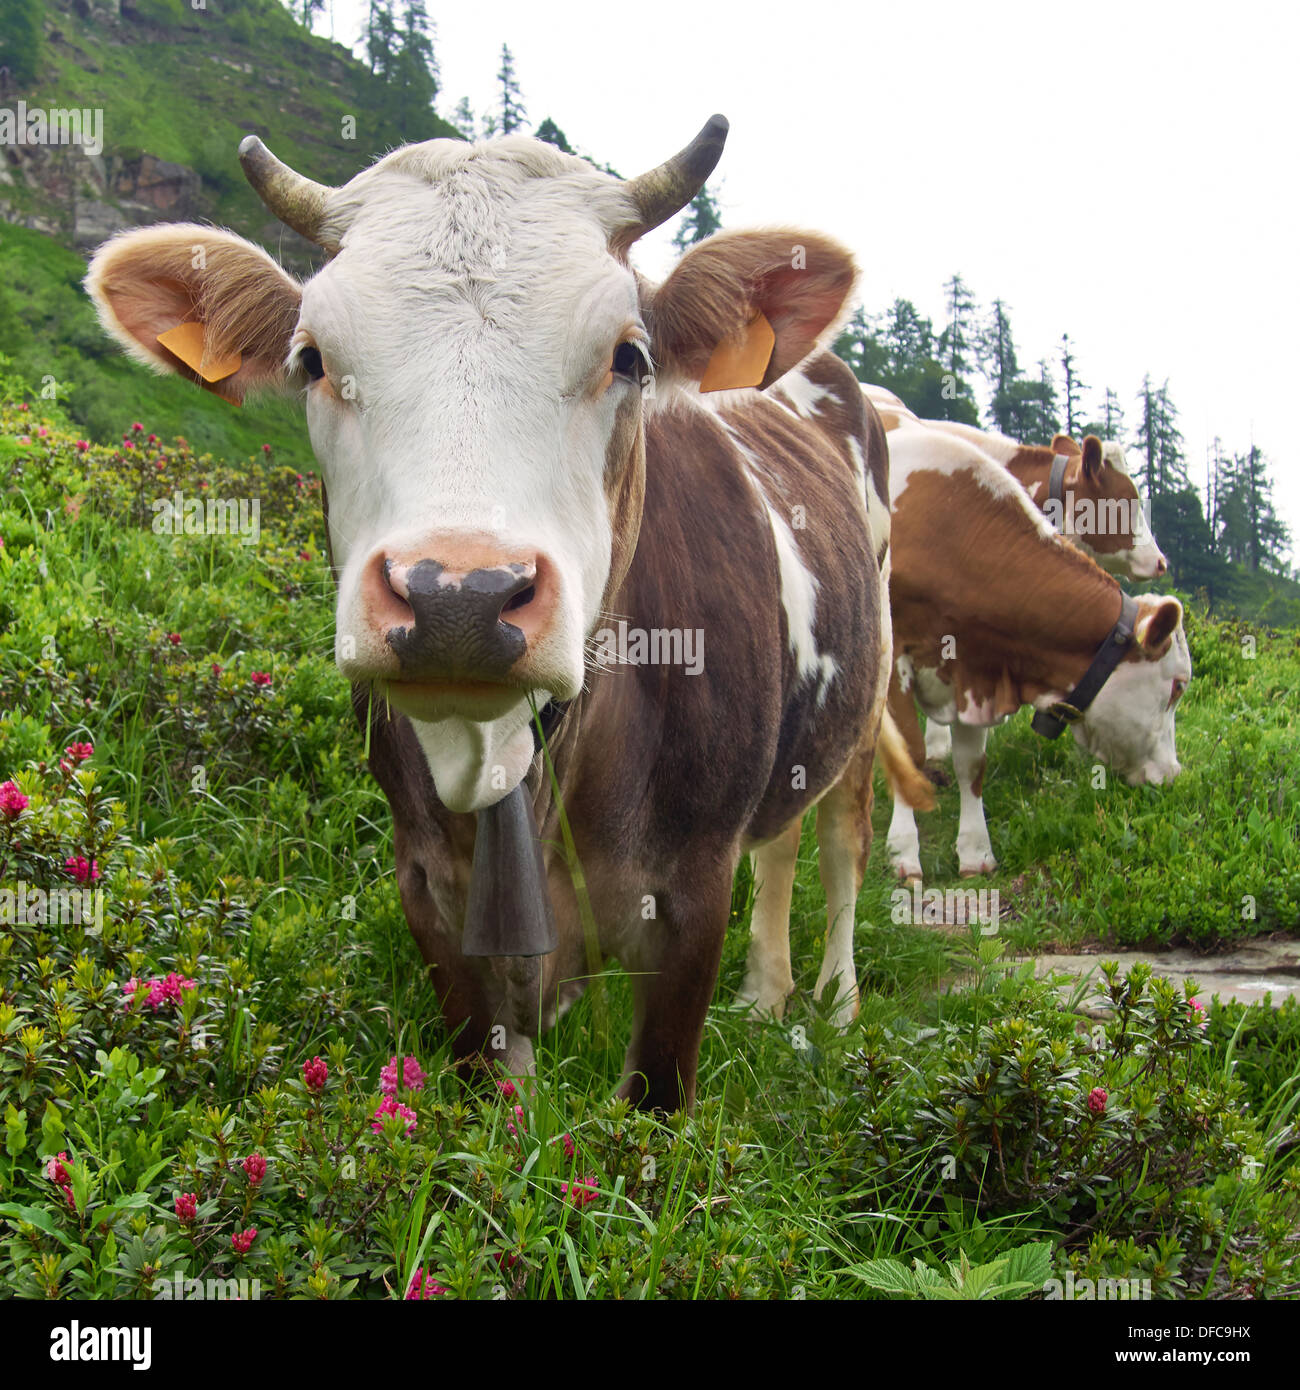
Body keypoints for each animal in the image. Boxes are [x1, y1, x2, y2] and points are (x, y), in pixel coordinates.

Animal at [84, 118, 918, 1110]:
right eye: (313, 359)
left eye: (630, 356)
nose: (459, 597)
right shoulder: (431, 893)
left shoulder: (693, 888)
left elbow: (655, 1100)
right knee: (785, 840)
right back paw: (765, 994)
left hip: (866, 694)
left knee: (839, 842)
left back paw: (834, 1000)